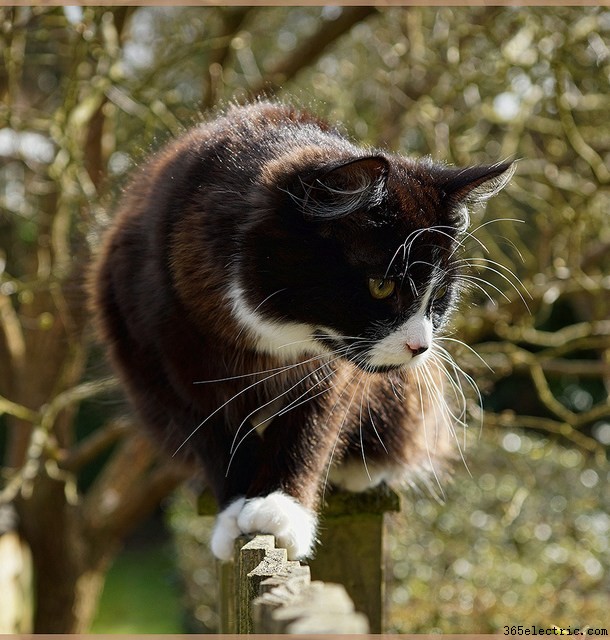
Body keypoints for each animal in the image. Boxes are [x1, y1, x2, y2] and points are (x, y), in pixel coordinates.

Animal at [91, 101, 512, 560]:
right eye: (382, 286)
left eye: (439, 295)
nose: (419, 346)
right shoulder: (161, 349)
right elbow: (210, 430)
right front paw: (235, 509)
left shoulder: (333, 369)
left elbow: (313, 425)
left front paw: (279, 507)